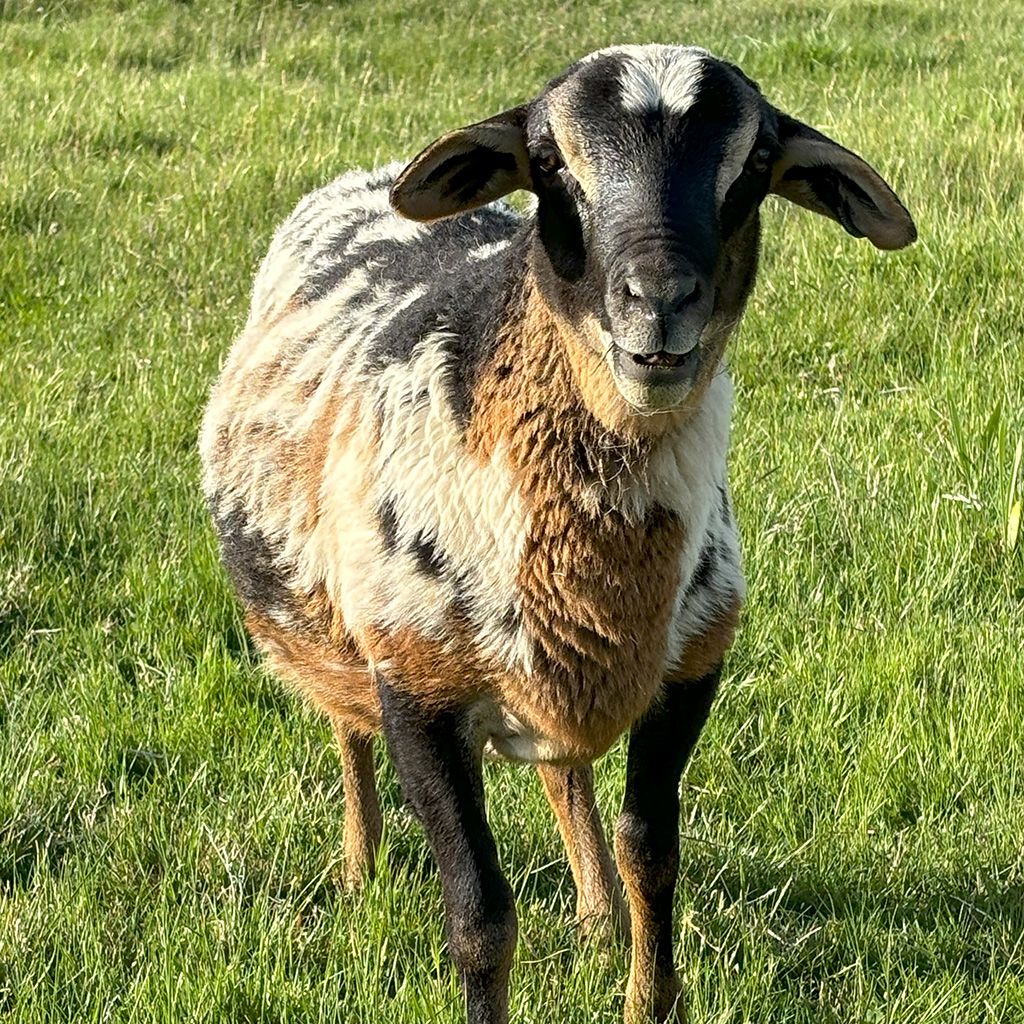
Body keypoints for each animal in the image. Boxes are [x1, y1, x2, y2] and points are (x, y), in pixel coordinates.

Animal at [200, 44, 915, 1024]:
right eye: (548, 163)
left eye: (756, 163)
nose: (660, 302)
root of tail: (371, 176)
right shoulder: (417, 692)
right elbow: (481, 919)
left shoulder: (690, 668)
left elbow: (652, 853)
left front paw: (647, 994)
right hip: (330, 619)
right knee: (346, 730)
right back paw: (358, 868)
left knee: (564, 772)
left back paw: (595, 914)